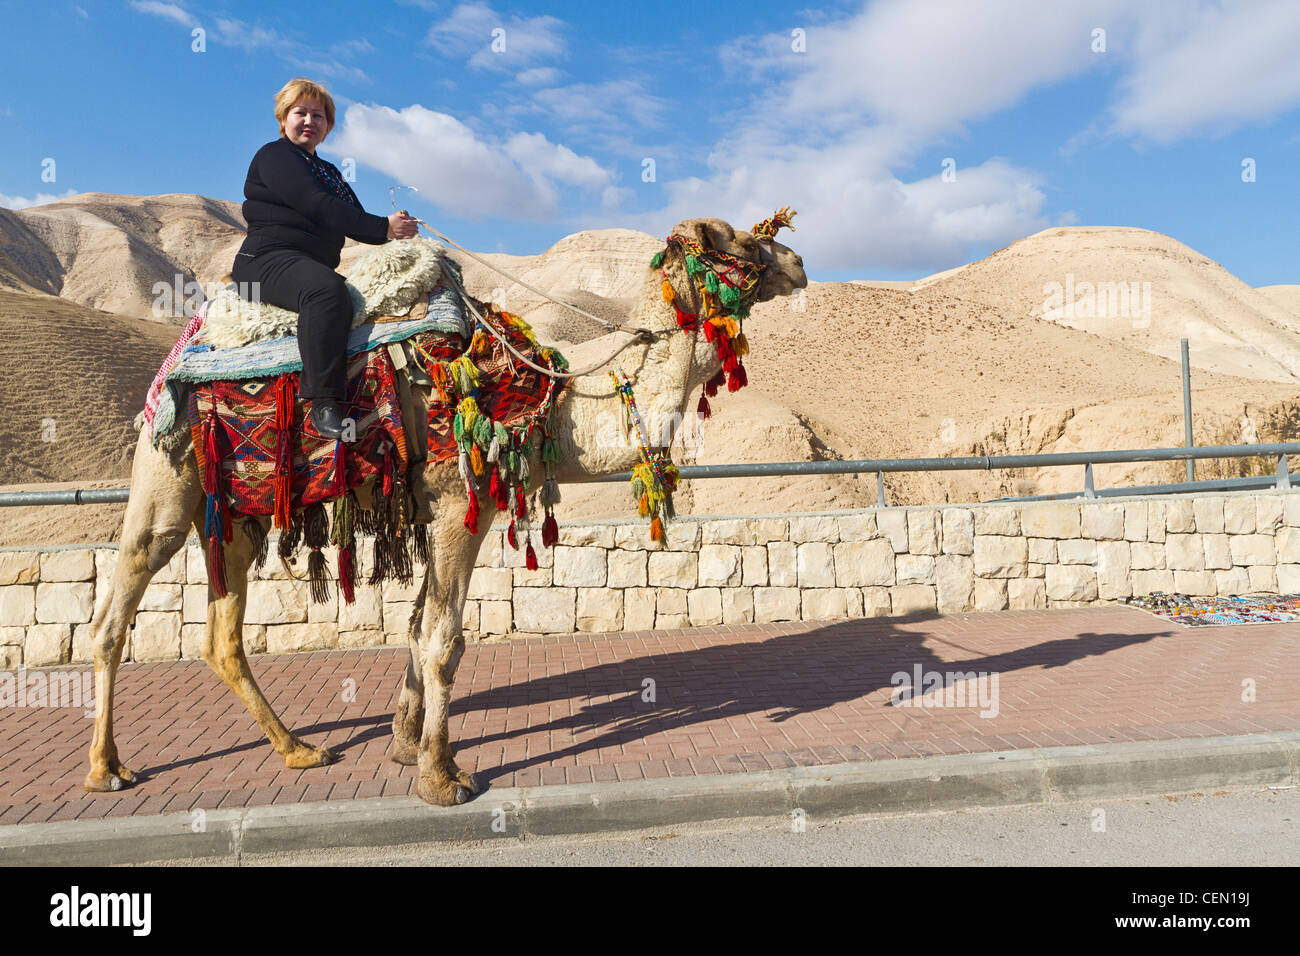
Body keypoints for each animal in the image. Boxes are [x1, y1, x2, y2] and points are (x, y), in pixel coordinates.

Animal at [84, 214, 807, 806]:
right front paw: (444, 776)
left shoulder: (440, 512)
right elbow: (445, 639)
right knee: (114, 613)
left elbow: (416, 627)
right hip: (167, 478)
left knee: (221, 637)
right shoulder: (464, 502)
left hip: (237, 512)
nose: (797, 261)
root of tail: (174, 357)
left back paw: (298, 750)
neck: (550, 402)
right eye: (741, 240)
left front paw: (406, 746)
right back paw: (107, 768)